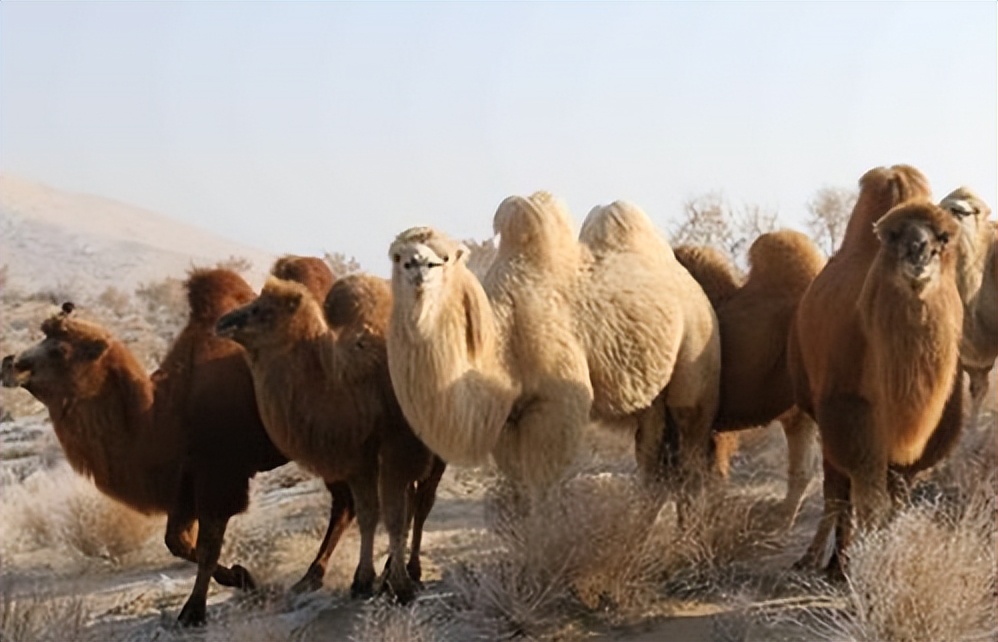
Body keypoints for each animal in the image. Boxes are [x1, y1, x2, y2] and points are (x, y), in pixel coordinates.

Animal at [1, 271, 288, 626]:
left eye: (58, 351)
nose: (9, 364)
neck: (163, 413)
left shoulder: (218, 475)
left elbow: (206, 547)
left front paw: (193, 612)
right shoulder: (185, 483)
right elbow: (179, 543)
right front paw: (241, 576)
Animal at [215, 274, 445, 604]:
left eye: (263, 310)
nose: (222, 322)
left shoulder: (398, 444)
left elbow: (393, 514)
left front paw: (401, 587)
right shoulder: (358, 454)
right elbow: (368, 513)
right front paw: (363, 581)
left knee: (423, 501)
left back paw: (411, 570)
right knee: (412, 499)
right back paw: (389, 570)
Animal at [386, 192, 720, 492]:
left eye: (444, 258)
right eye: (398, 256)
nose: (418, 266)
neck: (503, 342)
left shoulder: (557, 405)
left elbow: (543, 490)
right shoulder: (508, 424)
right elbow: (521, 486)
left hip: (697, 354)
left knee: (691, 450)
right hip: (653, 396)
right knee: (652, 464)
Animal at [790, 166, 965, 574]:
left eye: (943, 236)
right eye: (893, 235)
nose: (918, 251)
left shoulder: (926, 435)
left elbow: (896, 499)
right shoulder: (848, 410)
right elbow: (866, 494)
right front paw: (854, 568)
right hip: (826, 412)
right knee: (838, 487)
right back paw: (821, 559)